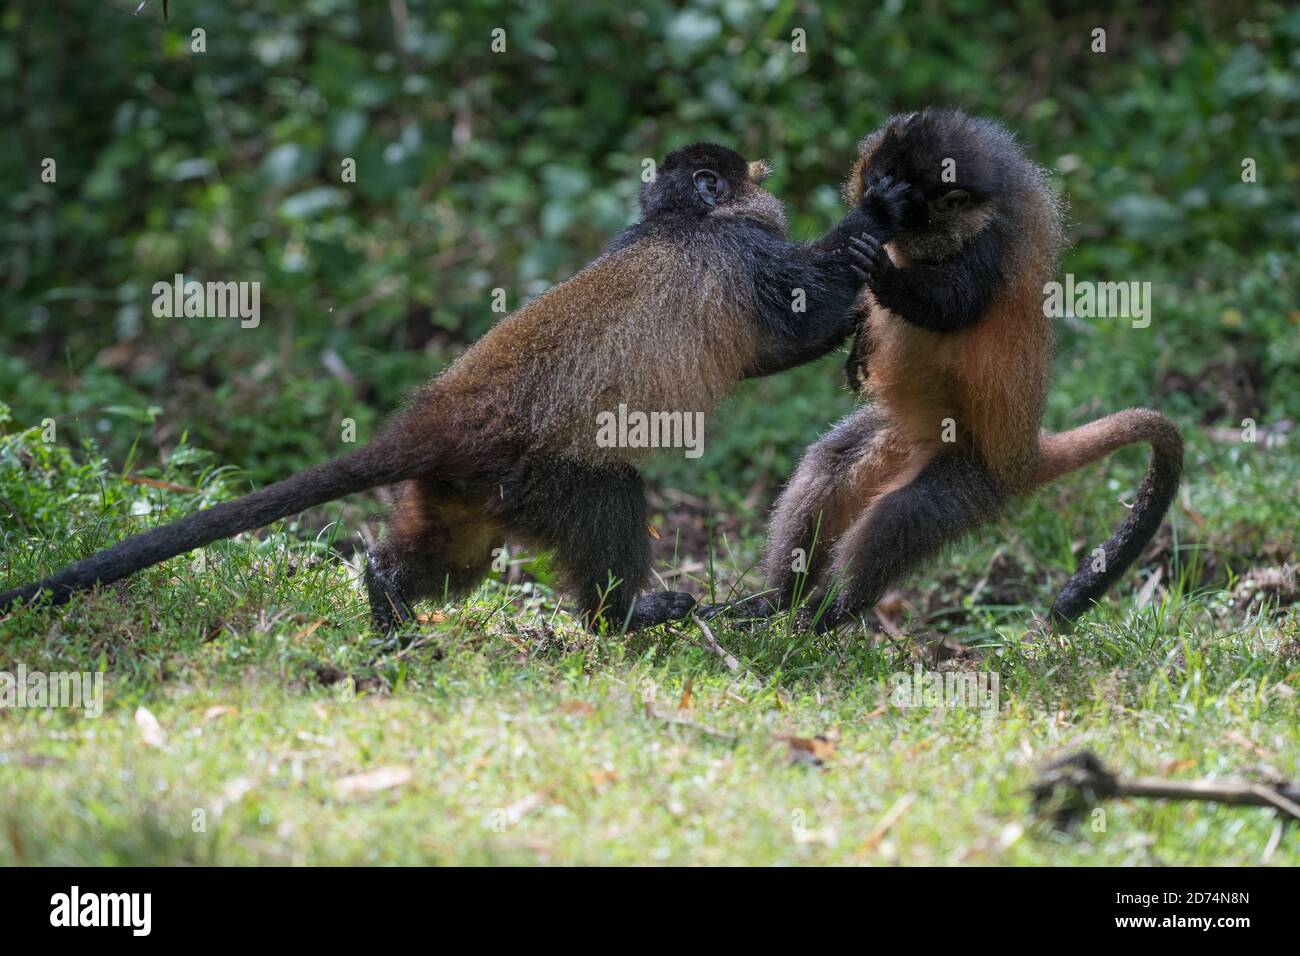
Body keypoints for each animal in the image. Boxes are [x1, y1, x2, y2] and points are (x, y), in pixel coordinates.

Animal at [1, 143, 920, 636]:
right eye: (738, 177)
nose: (765, 182)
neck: (676, 220)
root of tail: (441, 417)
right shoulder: (741, 258)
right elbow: (791, 332)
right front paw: (872, 226)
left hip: (456, 490)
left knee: (447, 560)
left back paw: (386, 595)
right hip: (536, 477)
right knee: (611, 496)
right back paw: (623, 616)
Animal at [704, 108, 1182, 632]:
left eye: (904, 200)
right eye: (875, 181)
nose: (874, 205)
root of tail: (1025, 455)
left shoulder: (993, 246)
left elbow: (950, 308)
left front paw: (880, 271)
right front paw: (858, 339)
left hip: (972, 477)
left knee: (901, 515)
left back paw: (821, 616)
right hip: (901, 440)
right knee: (832, 461)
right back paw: (772, 603)